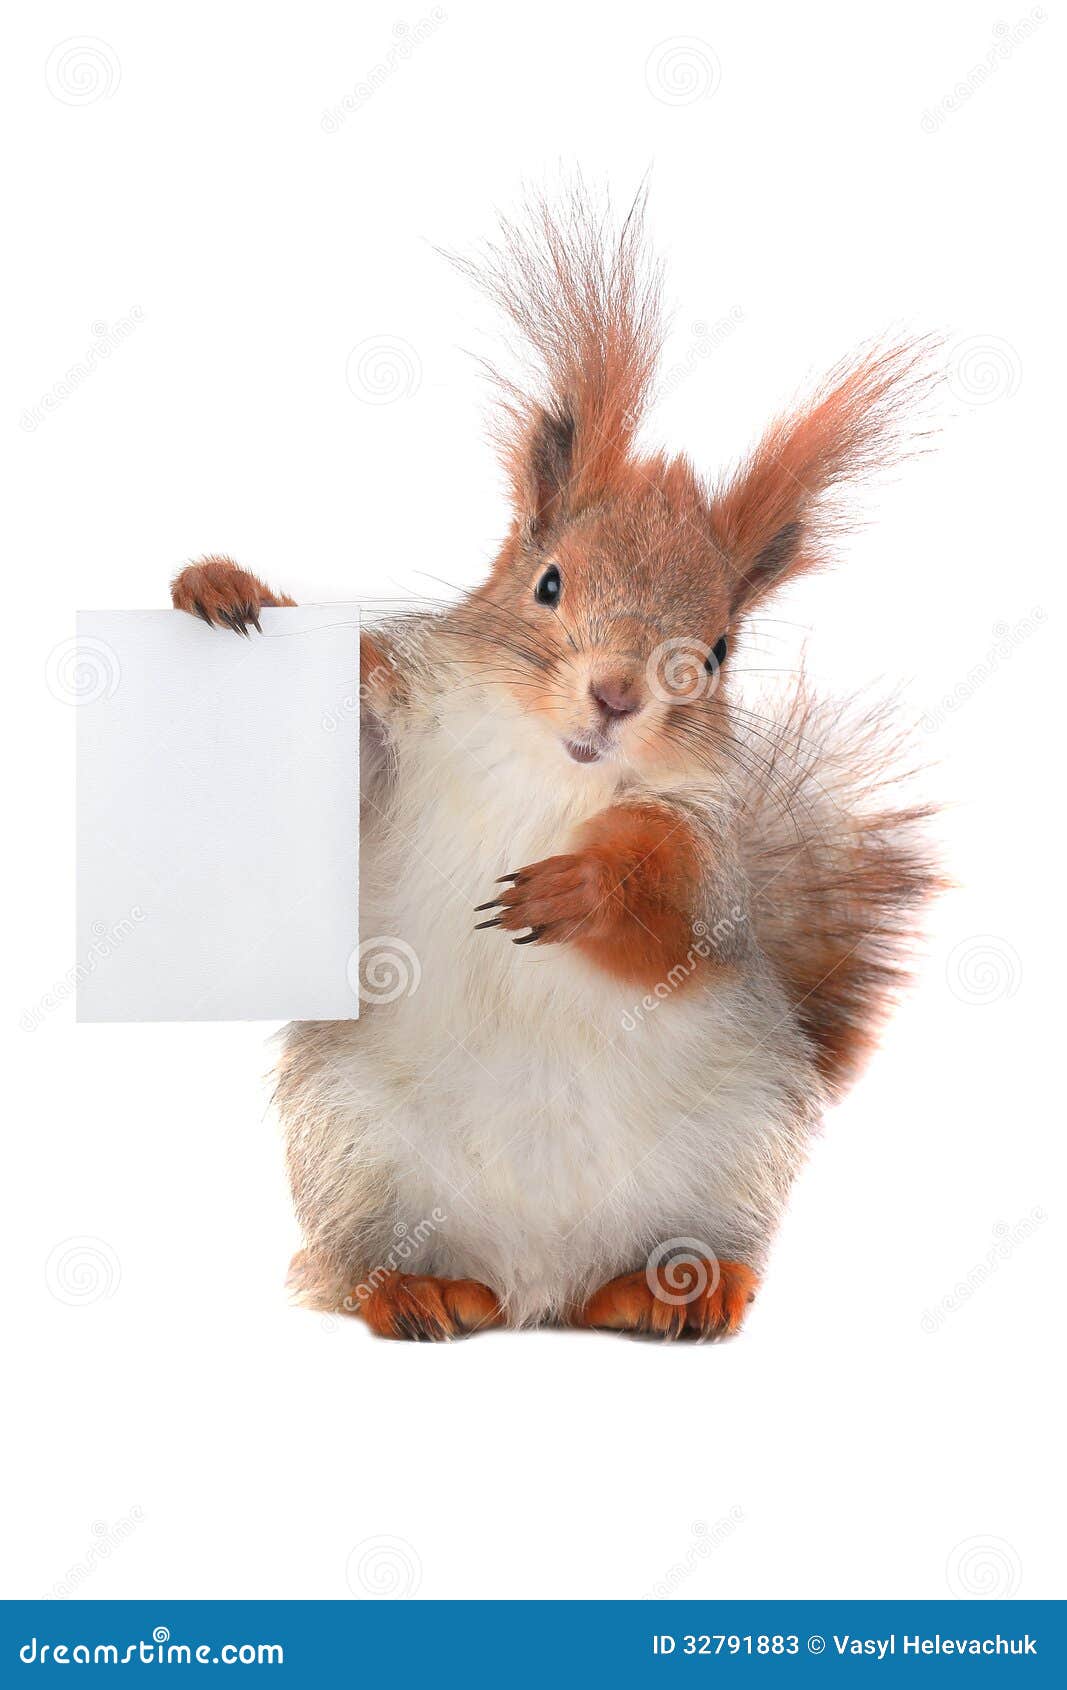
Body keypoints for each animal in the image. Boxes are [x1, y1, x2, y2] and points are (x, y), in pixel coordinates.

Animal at [171, 190, 941, 1341]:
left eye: (717, 651)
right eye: (546, 582)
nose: (616, 695)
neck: (548, 771)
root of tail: (537, 1284)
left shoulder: (706, 852)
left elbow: (674, 909)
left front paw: (580, 887)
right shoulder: (395, 759)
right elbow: (349, 748)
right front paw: (224, 584)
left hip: (729, 1154)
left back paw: (673, 1287)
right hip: (356, 1159)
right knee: (368, 1265)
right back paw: (415, 1289)